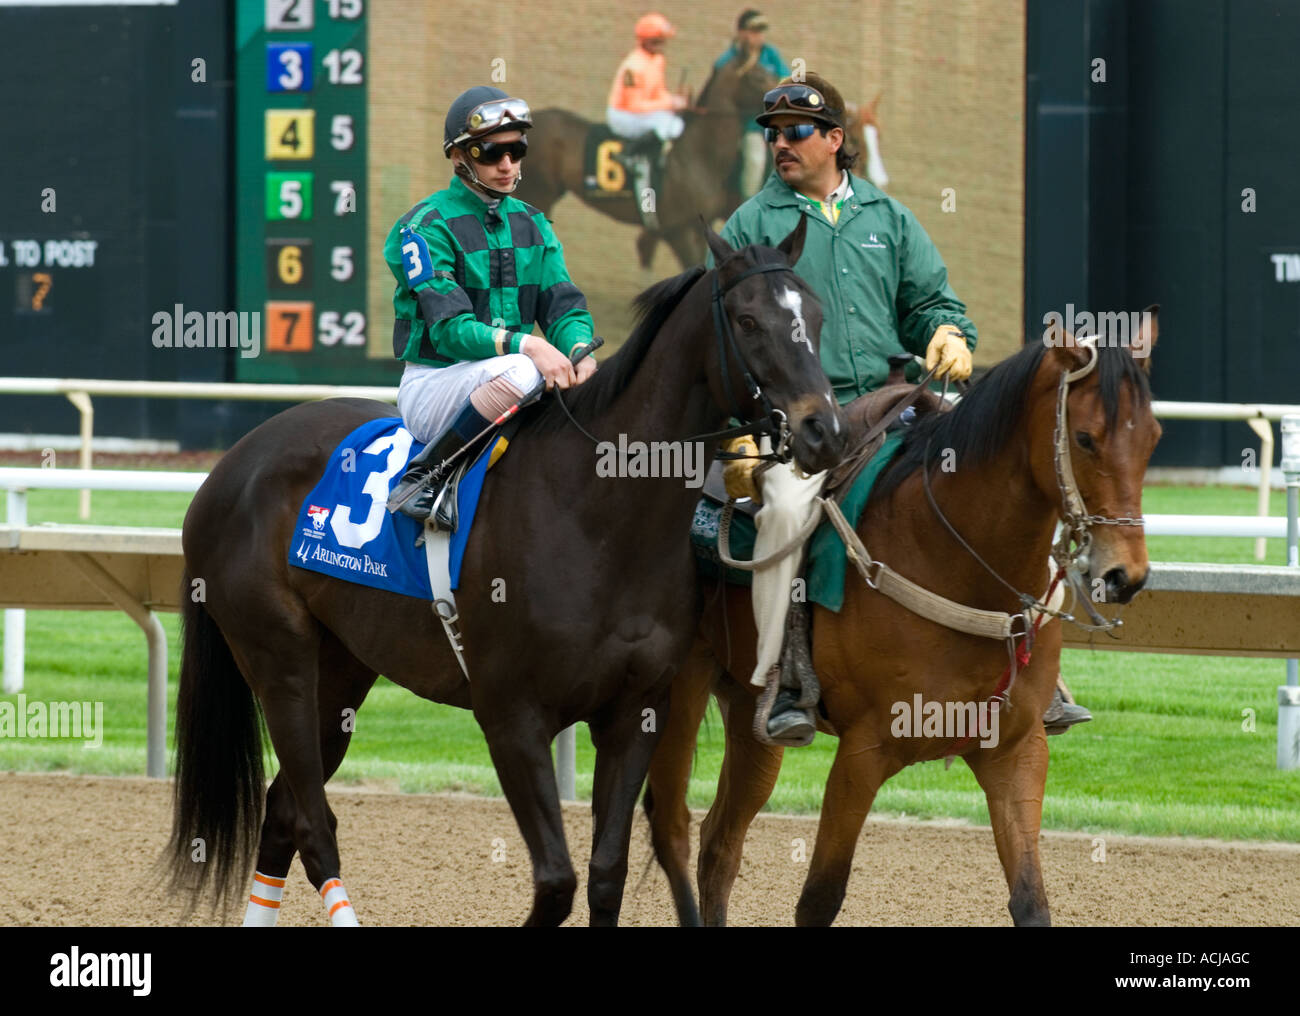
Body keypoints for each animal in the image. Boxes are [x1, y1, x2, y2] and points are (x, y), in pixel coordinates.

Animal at [163, 217, 848, 927]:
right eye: (748, 320)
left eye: (816, 315)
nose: (824, 430)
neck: (597, 516)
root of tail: (230, 465)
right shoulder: (511, 717)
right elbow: (556, 881)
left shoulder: (636, 711)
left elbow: (606, 873)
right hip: (280, 658)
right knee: (313, 825)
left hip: (343, 667)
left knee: (281, 813)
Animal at [517, 58, 775, 271]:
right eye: (757, 76)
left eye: (768, 71)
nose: (779, 93)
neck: (698, 153)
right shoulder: (676, 230)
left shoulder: (699, 226)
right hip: (540, 193)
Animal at [643, 312, 1162, 926]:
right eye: (1084, 438)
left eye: (1154, 437)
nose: (1125, 574)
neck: (951, 559)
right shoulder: (863, 753)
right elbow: (819, 898)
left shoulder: (1016, 751)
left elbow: (1031, 901)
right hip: (679, 693)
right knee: (669, 827)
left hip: (752, 713)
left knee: (720, 844)